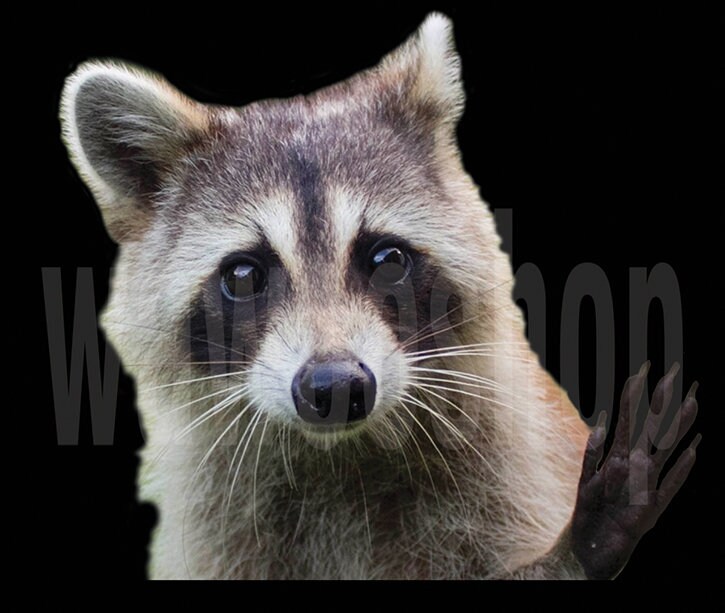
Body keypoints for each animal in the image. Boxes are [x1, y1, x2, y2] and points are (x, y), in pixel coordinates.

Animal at [60, 14, 698, 579]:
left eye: (387, 261)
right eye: (243, 276)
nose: (336, 385)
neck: (338, 456)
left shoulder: (515, 475)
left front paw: (572, 552)